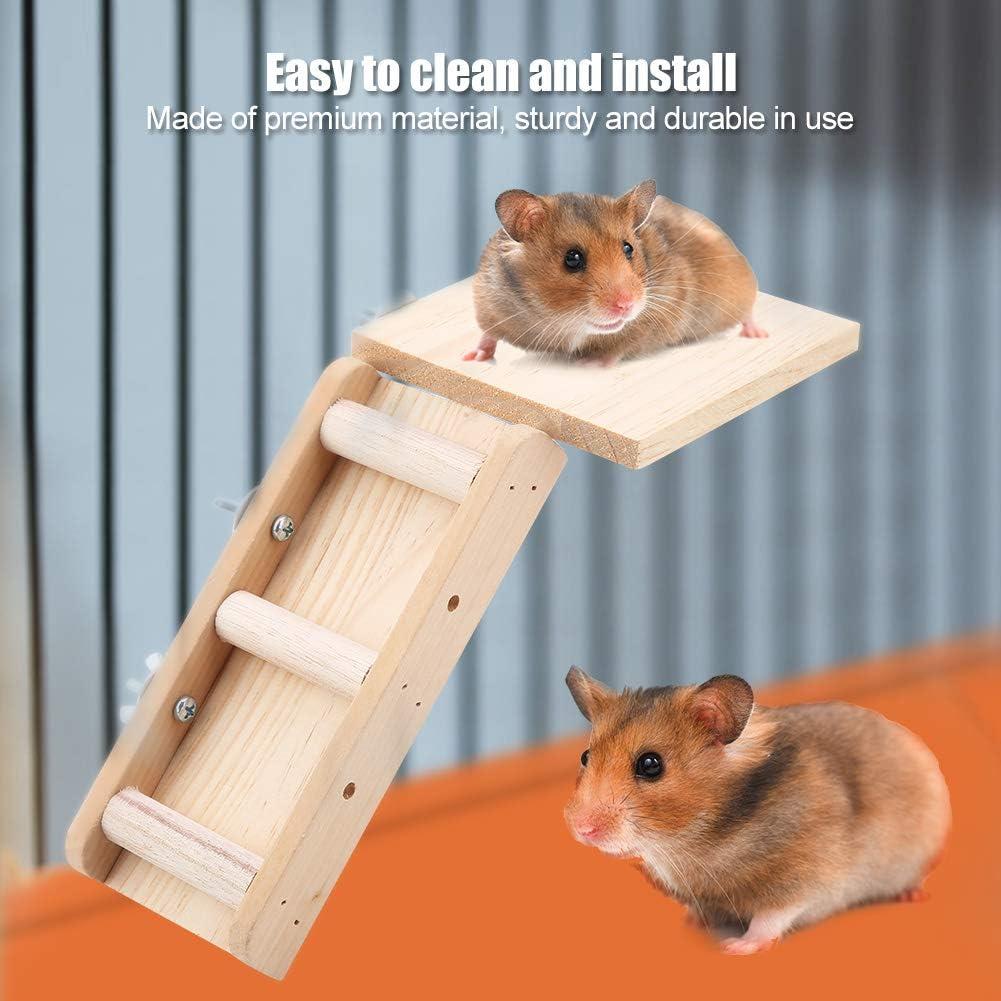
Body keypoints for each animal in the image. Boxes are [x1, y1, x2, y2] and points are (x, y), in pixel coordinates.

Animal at [466, 179, 768, 366]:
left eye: (628, 248)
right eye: (572, 259)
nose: (627, 305)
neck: (562, 321)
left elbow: (620, 345)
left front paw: (590, 364)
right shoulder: (489, 303)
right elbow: (487, 333)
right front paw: (472, 357)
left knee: (749, 311)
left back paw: (758, 334)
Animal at [563, 668, 951, 955]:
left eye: (650, 764)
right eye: (585, 756)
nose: (581, 830)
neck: (696, 840)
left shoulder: (807, 873)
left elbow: (773, 914)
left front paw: (737, 947)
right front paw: (693, 922)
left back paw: (911, 894)